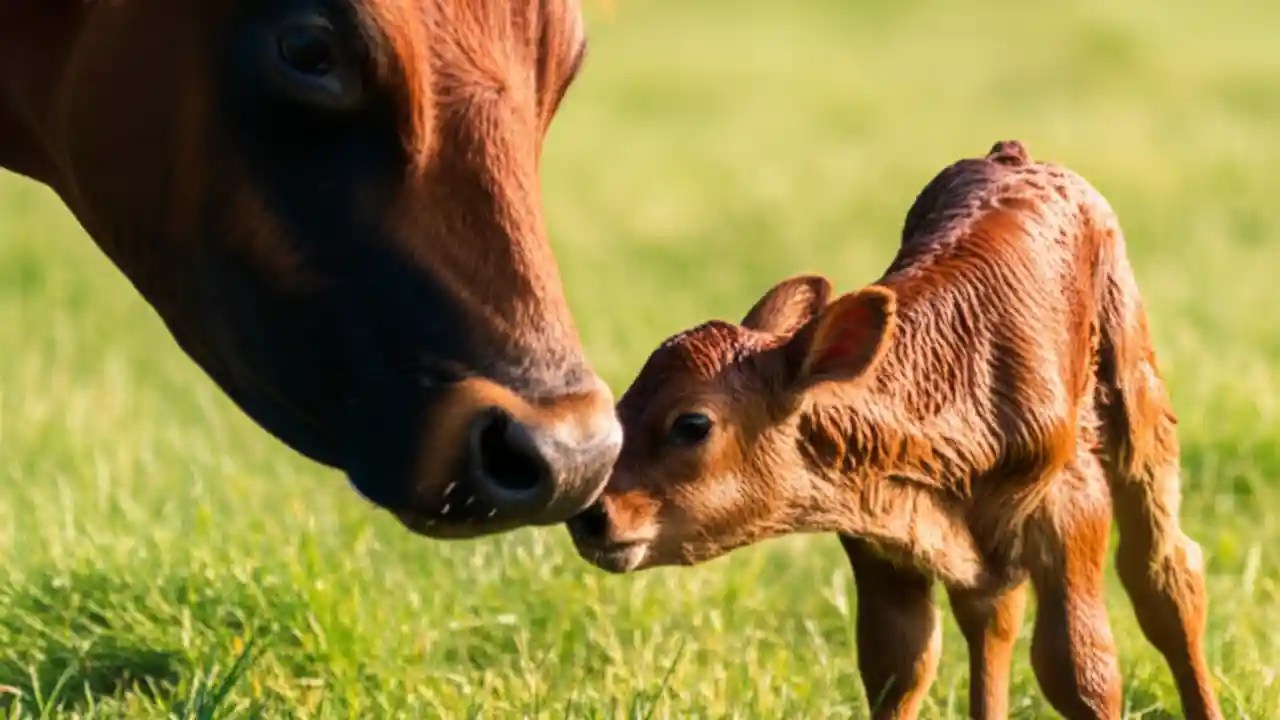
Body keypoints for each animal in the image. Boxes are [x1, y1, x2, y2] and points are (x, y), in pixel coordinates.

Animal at [568, 142, 1222, 720]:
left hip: (1136, 392)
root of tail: (1015, 155)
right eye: (622, 405)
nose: (592, 514)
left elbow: (1081, 673)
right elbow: (899, 669)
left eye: (692, 423)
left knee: (1167, 576)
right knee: (993, 613)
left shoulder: (1070, 505)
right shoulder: (878, 535)